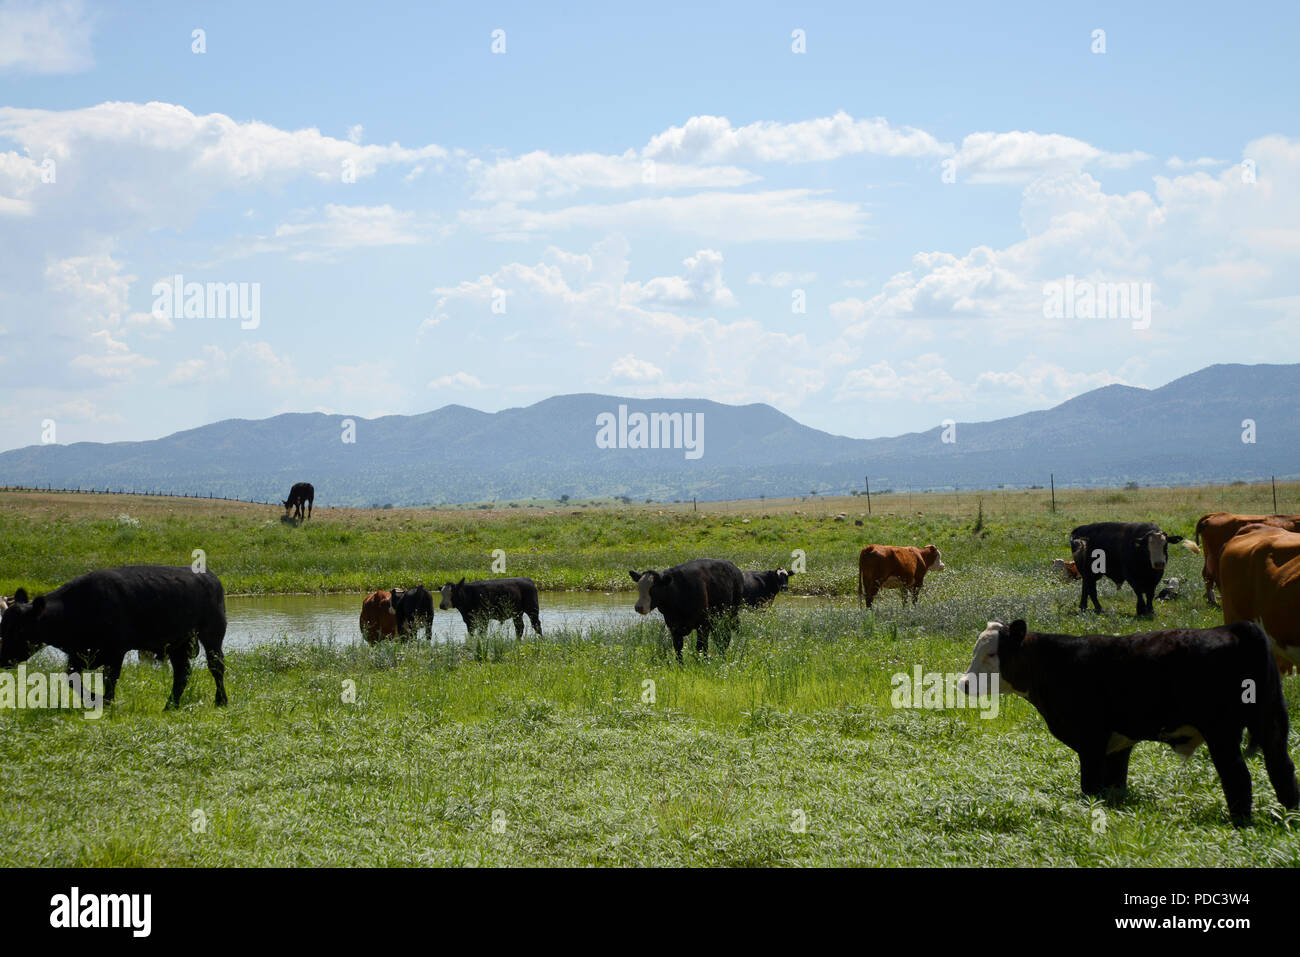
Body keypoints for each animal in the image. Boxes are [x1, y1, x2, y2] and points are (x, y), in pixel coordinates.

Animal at [0, 565, 228, 708]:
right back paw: (170, 705)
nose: (3, 660)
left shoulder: (116, 651)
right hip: (177, 644)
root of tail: (210, 576)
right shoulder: (78, 653)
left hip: (212, 634)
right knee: (182, 673)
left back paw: (221, 701)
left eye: (19, 629)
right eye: (3, 625)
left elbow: (110, 679)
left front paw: (106, 702)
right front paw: (94, 699)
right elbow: (71, 677)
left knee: (216, 667)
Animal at [959, 618, 1298, 824]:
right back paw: (1290, 816)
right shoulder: (1117, 745)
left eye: (992, 654)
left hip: (1222, 733)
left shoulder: (1092, 742)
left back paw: (1240, 823)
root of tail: (1236, 628)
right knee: (1282, 769)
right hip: (1272, 723)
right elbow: (1115, 786)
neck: (1056, 664)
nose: (963, 683)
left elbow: (1090, 787)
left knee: (1238, 777)